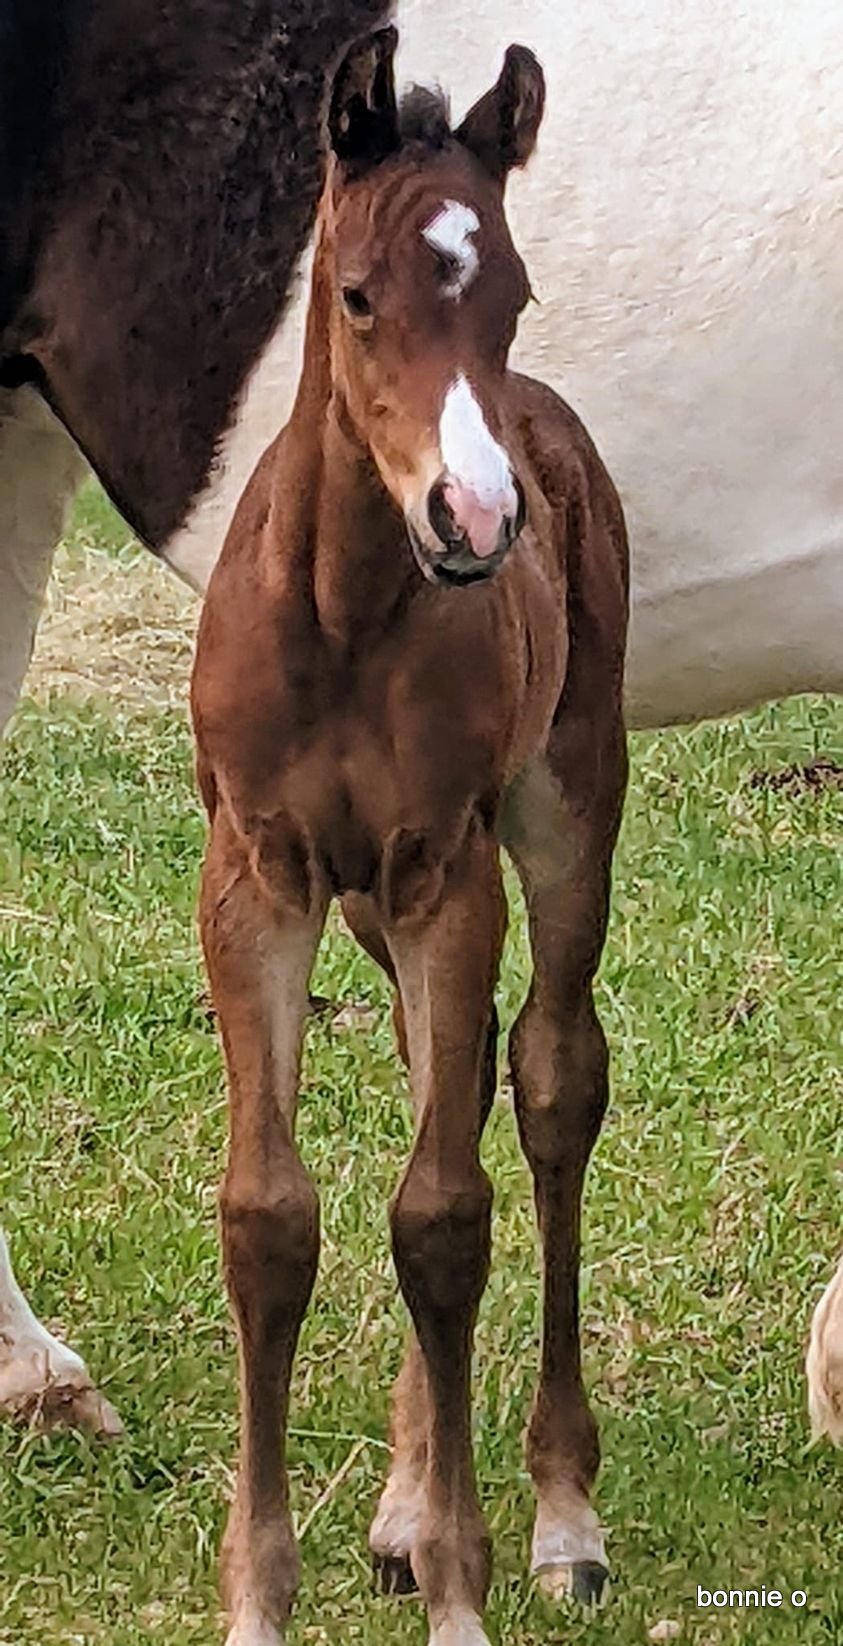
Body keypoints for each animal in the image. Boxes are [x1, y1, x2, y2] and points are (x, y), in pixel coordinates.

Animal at [191, 29, 628, 1645]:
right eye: (361, 294)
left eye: (510, 293)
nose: (477, 515)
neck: (339, 612)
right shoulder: (259, 876)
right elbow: (271, 1216)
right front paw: (259, 1599)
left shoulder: (449, 869)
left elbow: (443, 1215)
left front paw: (462, 1587)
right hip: (376, 906)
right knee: (436, 1065)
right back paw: (396, 1492)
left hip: (561, 813)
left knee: (548, 1080)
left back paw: (559, 1512)